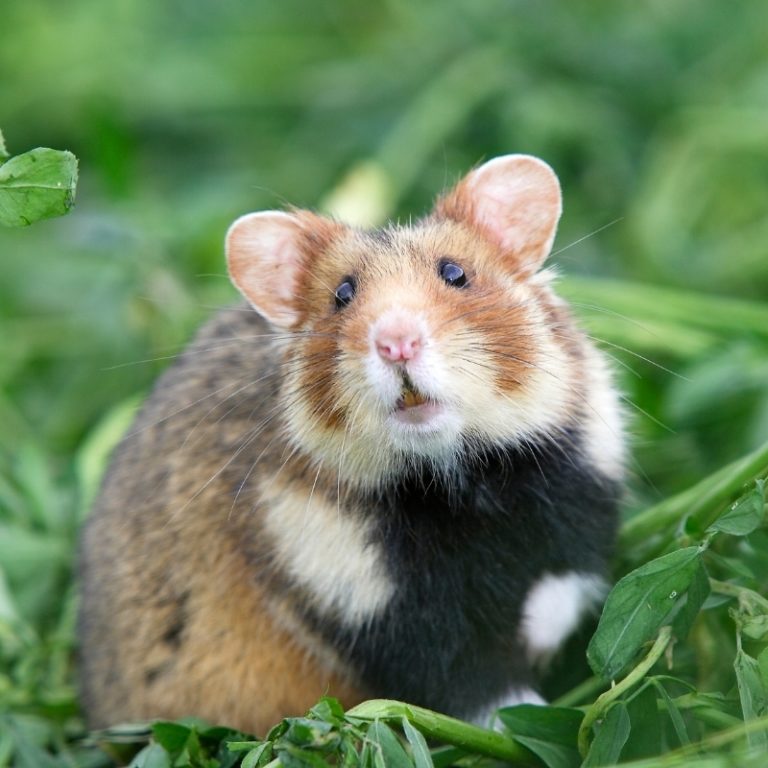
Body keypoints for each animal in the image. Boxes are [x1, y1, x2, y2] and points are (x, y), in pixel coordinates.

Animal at [78, 154, 625, 733]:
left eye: (455, 273)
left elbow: (561, 588)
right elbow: (476, 684)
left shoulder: (581, 496)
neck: (452, 475)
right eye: (342, 295)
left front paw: (539, 640)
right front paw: (526, 719)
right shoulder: (367, 597)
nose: (396, 343)